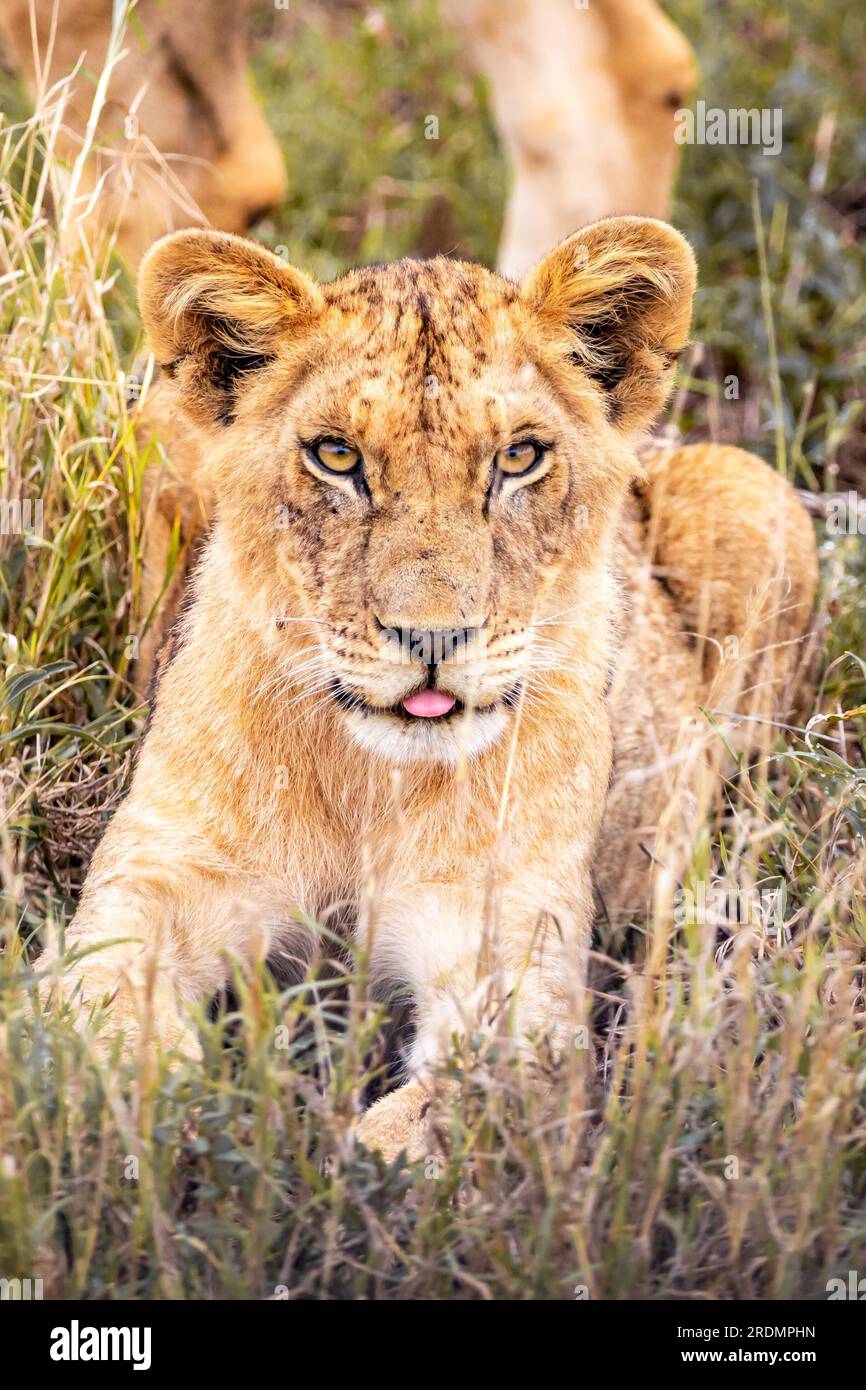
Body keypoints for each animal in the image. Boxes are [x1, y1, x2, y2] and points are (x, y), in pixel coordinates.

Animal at [44, 217, 817, 1161]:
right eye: (337, 456)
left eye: (518, 457)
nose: (434, 638)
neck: (369, 784)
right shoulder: (151, 883)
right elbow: (101, 1020)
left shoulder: (515, 957)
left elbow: (433, 1124)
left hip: (750, 492)